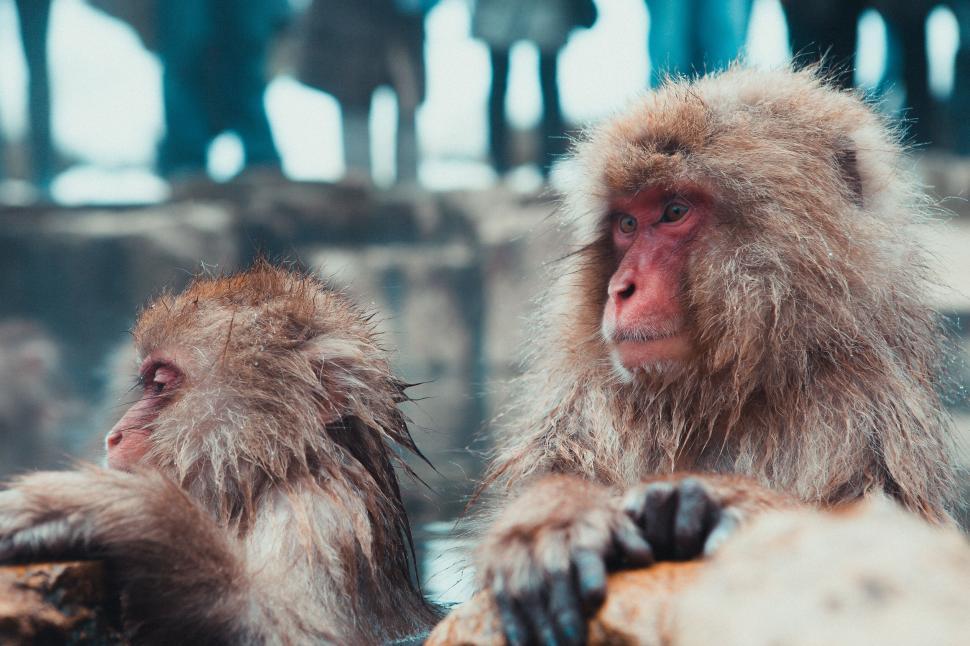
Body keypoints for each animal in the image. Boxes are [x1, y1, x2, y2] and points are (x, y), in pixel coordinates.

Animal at [0, 262, 440, 644]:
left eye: (159, 384)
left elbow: (291, 631)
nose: (113, 436)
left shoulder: (318, 518)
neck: (270, 476)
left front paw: (104, 507)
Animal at [466, 67, 960, 645]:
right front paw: (555, 519)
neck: (726, 390)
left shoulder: (872, 409)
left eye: (674, 212)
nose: (619, 288)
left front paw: (721, 502)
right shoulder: (590, 402)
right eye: (626, 224)